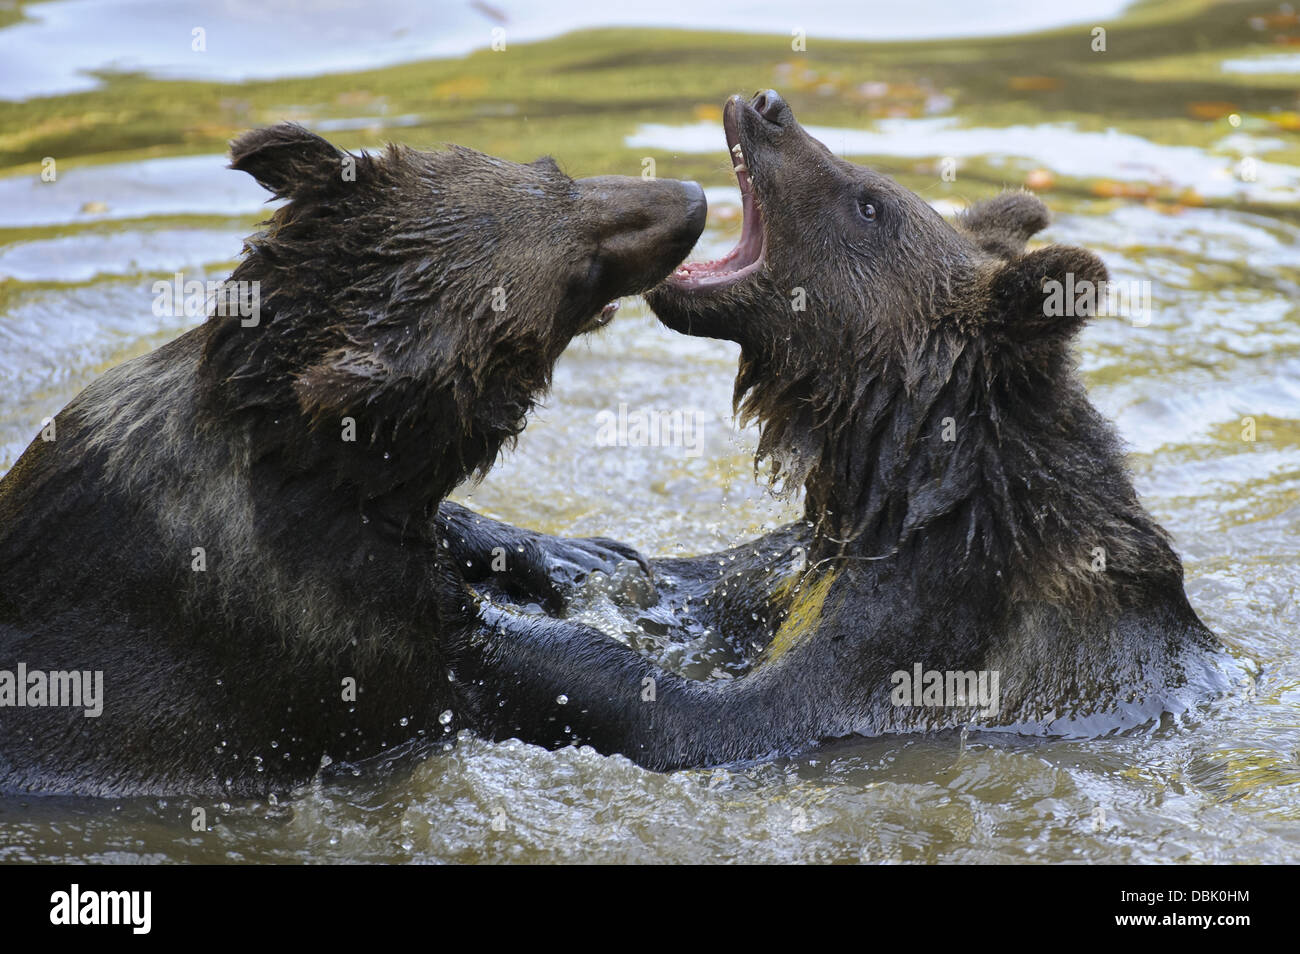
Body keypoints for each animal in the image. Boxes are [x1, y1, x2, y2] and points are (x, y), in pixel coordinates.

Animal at [0, 122, 705, 797]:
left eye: (553, 172)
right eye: (575, 272)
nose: (691, 200)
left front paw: (584, 553)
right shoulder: (327, 634)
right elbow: (570, 680)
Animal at [457, 91, 1233, 770]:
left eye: (868, 202)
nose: (768, 106)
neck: (885, 476)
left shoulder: (918, 637)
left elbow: (713, 717)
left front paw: (487, 624)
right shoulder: (798, 569)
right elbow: (672, 582)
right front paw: (558, 551)